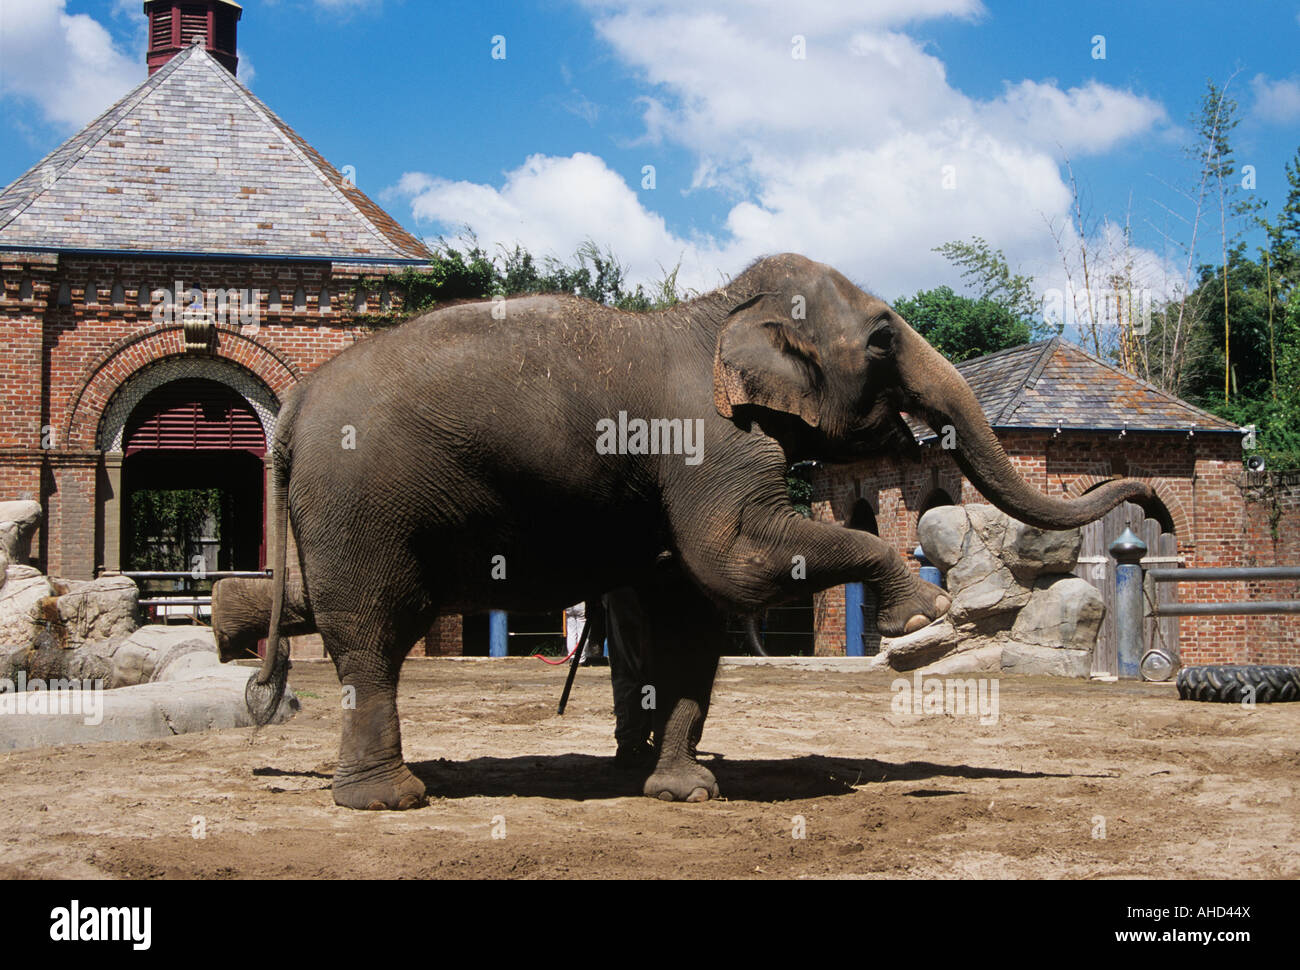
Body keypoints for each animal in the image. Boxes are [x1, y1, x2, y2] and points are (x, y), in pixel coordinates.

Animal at [213, 253, 1152, 811]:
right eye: (885, 338)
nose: (1141, 487)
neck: (719, 312)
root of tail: (293, 405)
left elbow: (691, 613)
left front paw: (686, 791)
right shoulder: (705, 442)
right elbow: (732, 562)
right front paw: (918, 616)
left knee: (339, 607)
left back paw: (226, 618)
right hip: (363, 499)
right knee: (376, 628)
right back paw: (391, 799)